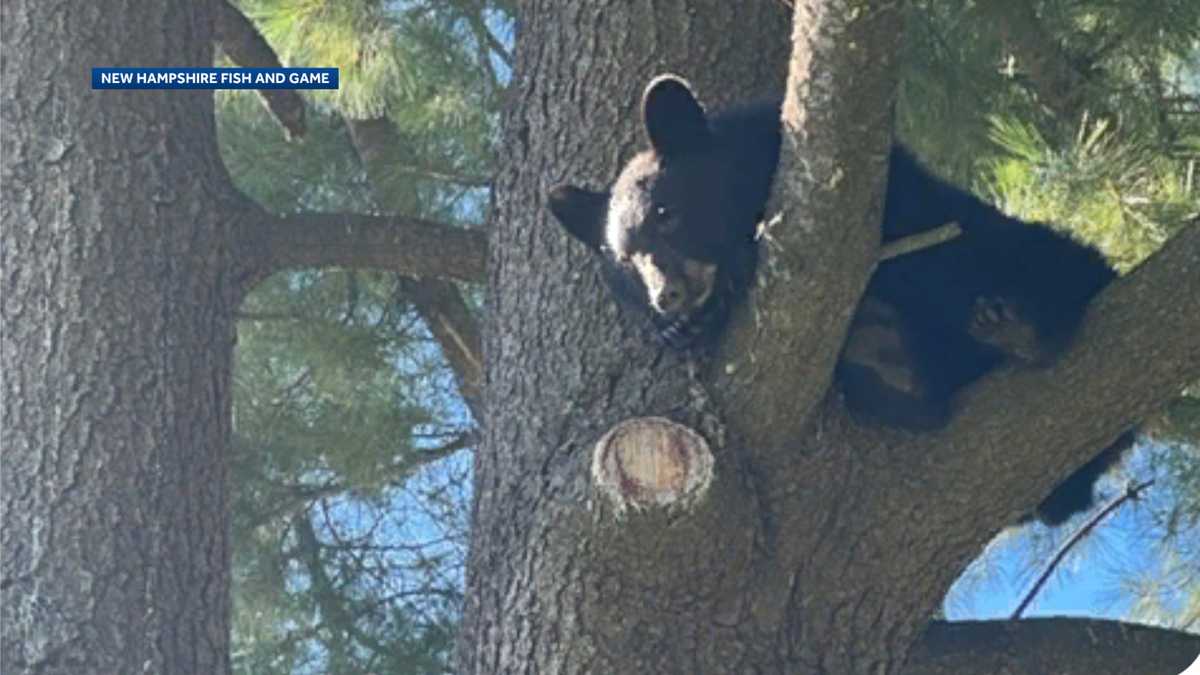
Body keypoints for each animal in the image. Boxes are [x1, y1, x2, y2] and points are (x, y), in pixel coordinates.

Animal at [546, 74, 1131, 526]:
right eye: (624, 260)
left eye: (667, 213)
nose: (668, 296)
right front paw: (684, 326)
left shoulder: (873, 187)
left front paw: (735, 268)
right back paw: (887, 362)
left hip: (1005, 245)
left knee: (1050, 262)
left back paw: (1023, 326)